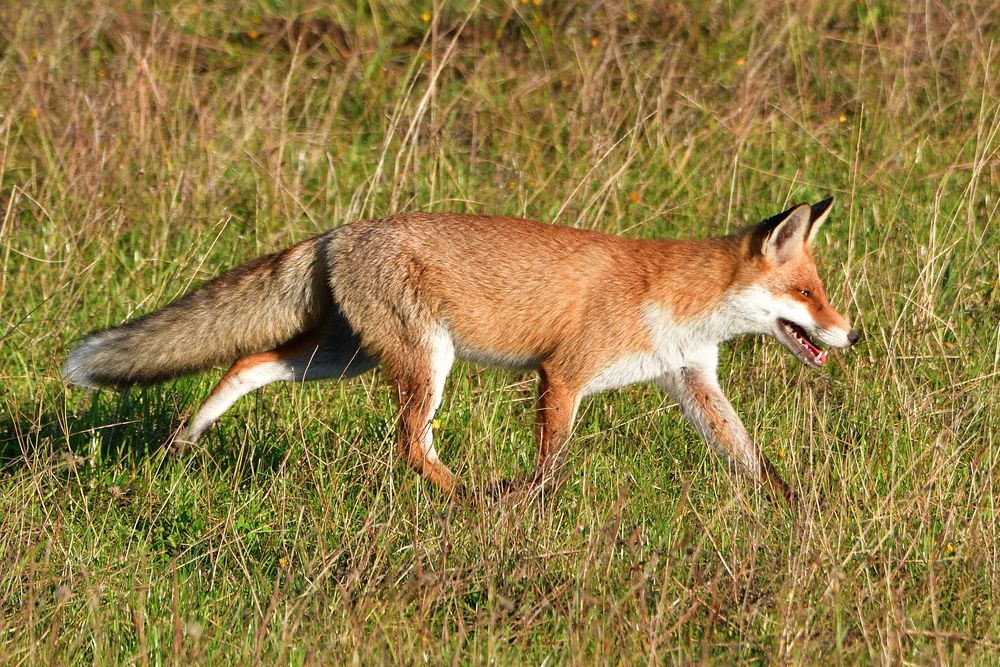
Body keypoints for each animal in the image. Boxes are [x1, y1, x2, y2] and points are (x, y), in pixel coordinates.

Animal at [63, 198, 858, 507]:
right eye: (808, 295)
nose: (851, 334)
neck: (674, 300)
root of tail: (340, 230)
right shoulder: (563, 374)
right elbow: (548, 466)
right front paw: (524, 503)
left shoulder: (693, 381)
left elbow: (751, 458)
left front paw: (800, 513)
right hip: (426, 361)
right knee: (412, 444)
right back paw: (470, 498)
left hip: (343, 357)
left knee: (245, 363)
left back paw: (187, 437)